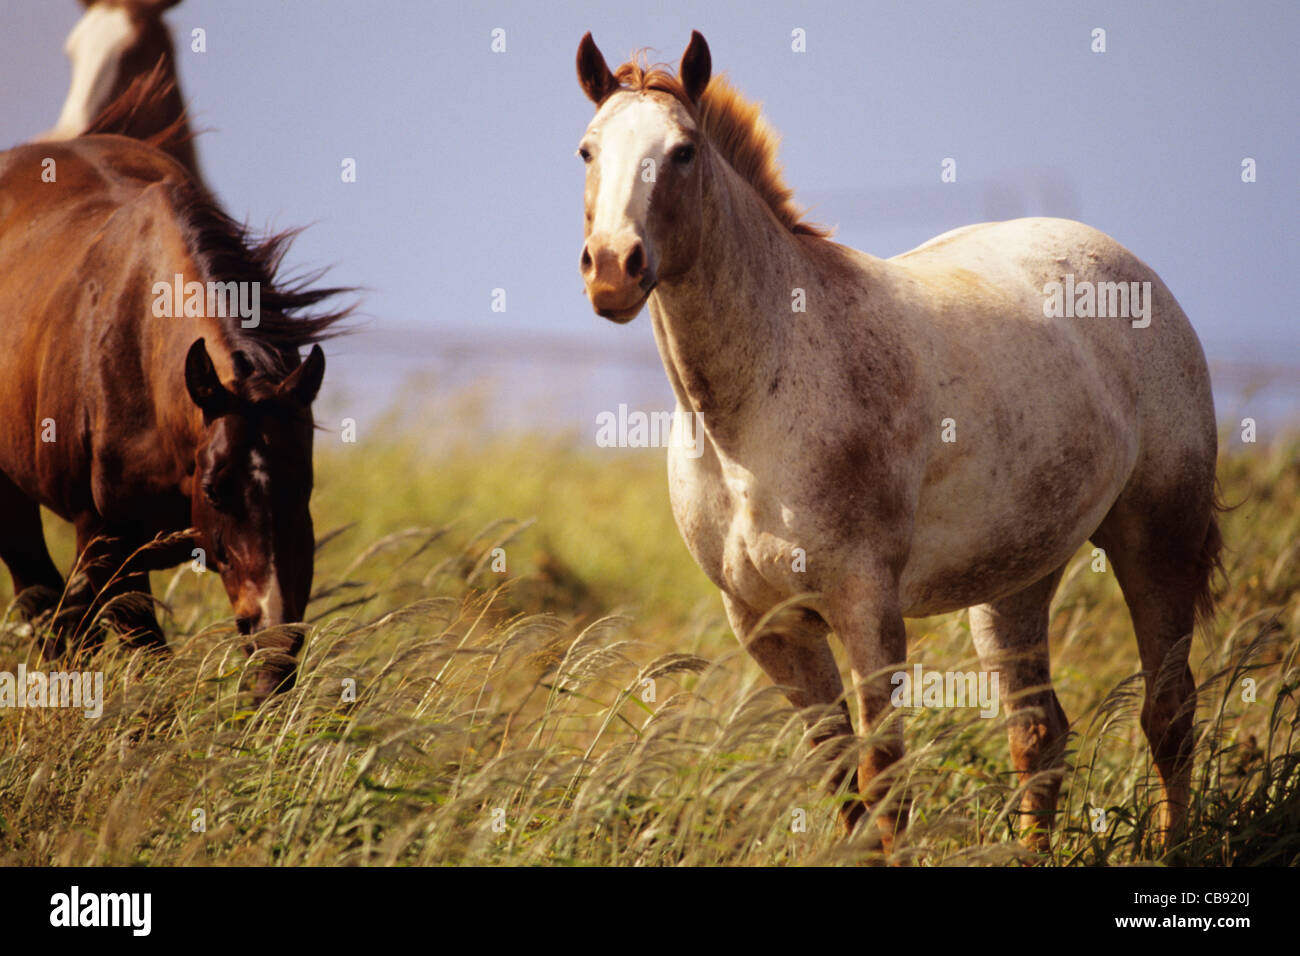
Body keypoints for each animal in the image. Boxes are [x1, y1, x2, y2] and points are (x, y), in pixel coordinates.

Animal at [574, 31, 1222, 854]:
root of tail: (1140, 277)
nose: (612, 270)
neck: (750, 418)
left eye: (684, 151)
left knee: (1168, 715)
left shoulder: (866, 611)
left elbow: (884, 783)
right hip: (1015, 582)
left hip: (1155, 543)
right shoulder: (770, 627)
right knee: (1039, 734)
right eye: (588, 150)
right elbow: (842, 785)